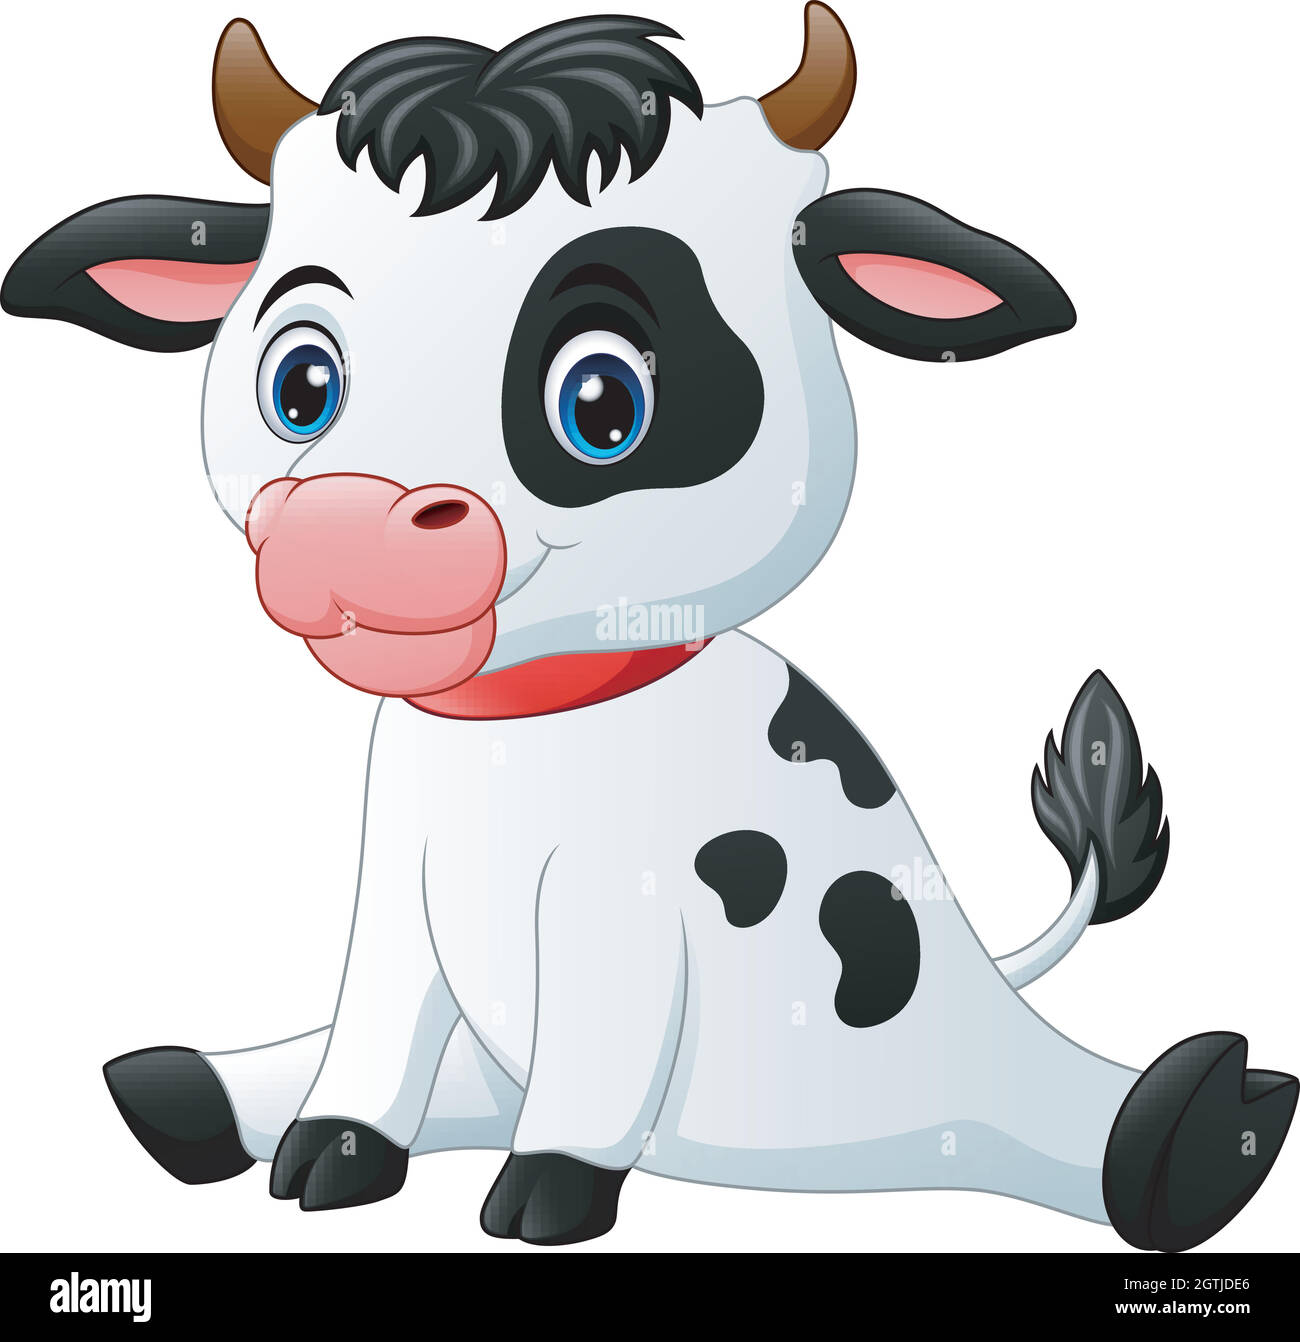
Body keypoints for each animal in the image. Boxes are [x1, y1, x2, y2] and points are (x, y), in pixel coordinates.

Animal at [5, 5, 1294, 1249]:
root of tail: (986, 975)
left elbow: (599, 1044)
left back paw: (1201, 1121)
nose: (346, 521)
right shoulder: (393, 877)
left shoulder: (618, 904)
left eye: (600, 402)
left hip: (957, 1083)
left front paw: (545, 1195)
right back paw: (178, 1090)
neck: (517, 729)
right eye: (302, 383)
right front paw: (331, 1153)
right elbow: (374, 1021)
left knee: (1083, 1123)